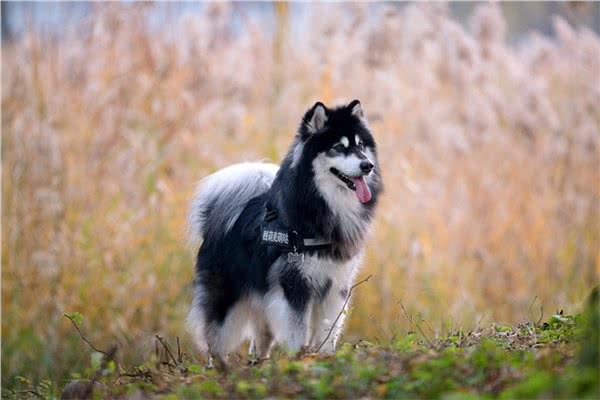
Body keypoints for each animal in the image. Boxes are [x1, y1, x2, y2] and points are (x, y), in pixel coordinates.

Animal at [185, 100, 382, 366]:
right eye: (339, 147)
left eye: (360, 146)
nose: (367, 165)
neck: (323, 207)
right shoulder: (294, 285)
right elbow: (297, 330)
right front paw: (299, 359)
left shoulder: (336, 285)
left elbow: (328, 329)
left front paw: (324, 357)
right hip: (226, 299)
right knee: (215, 337)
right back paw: (219, 368)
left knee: (260, 338)